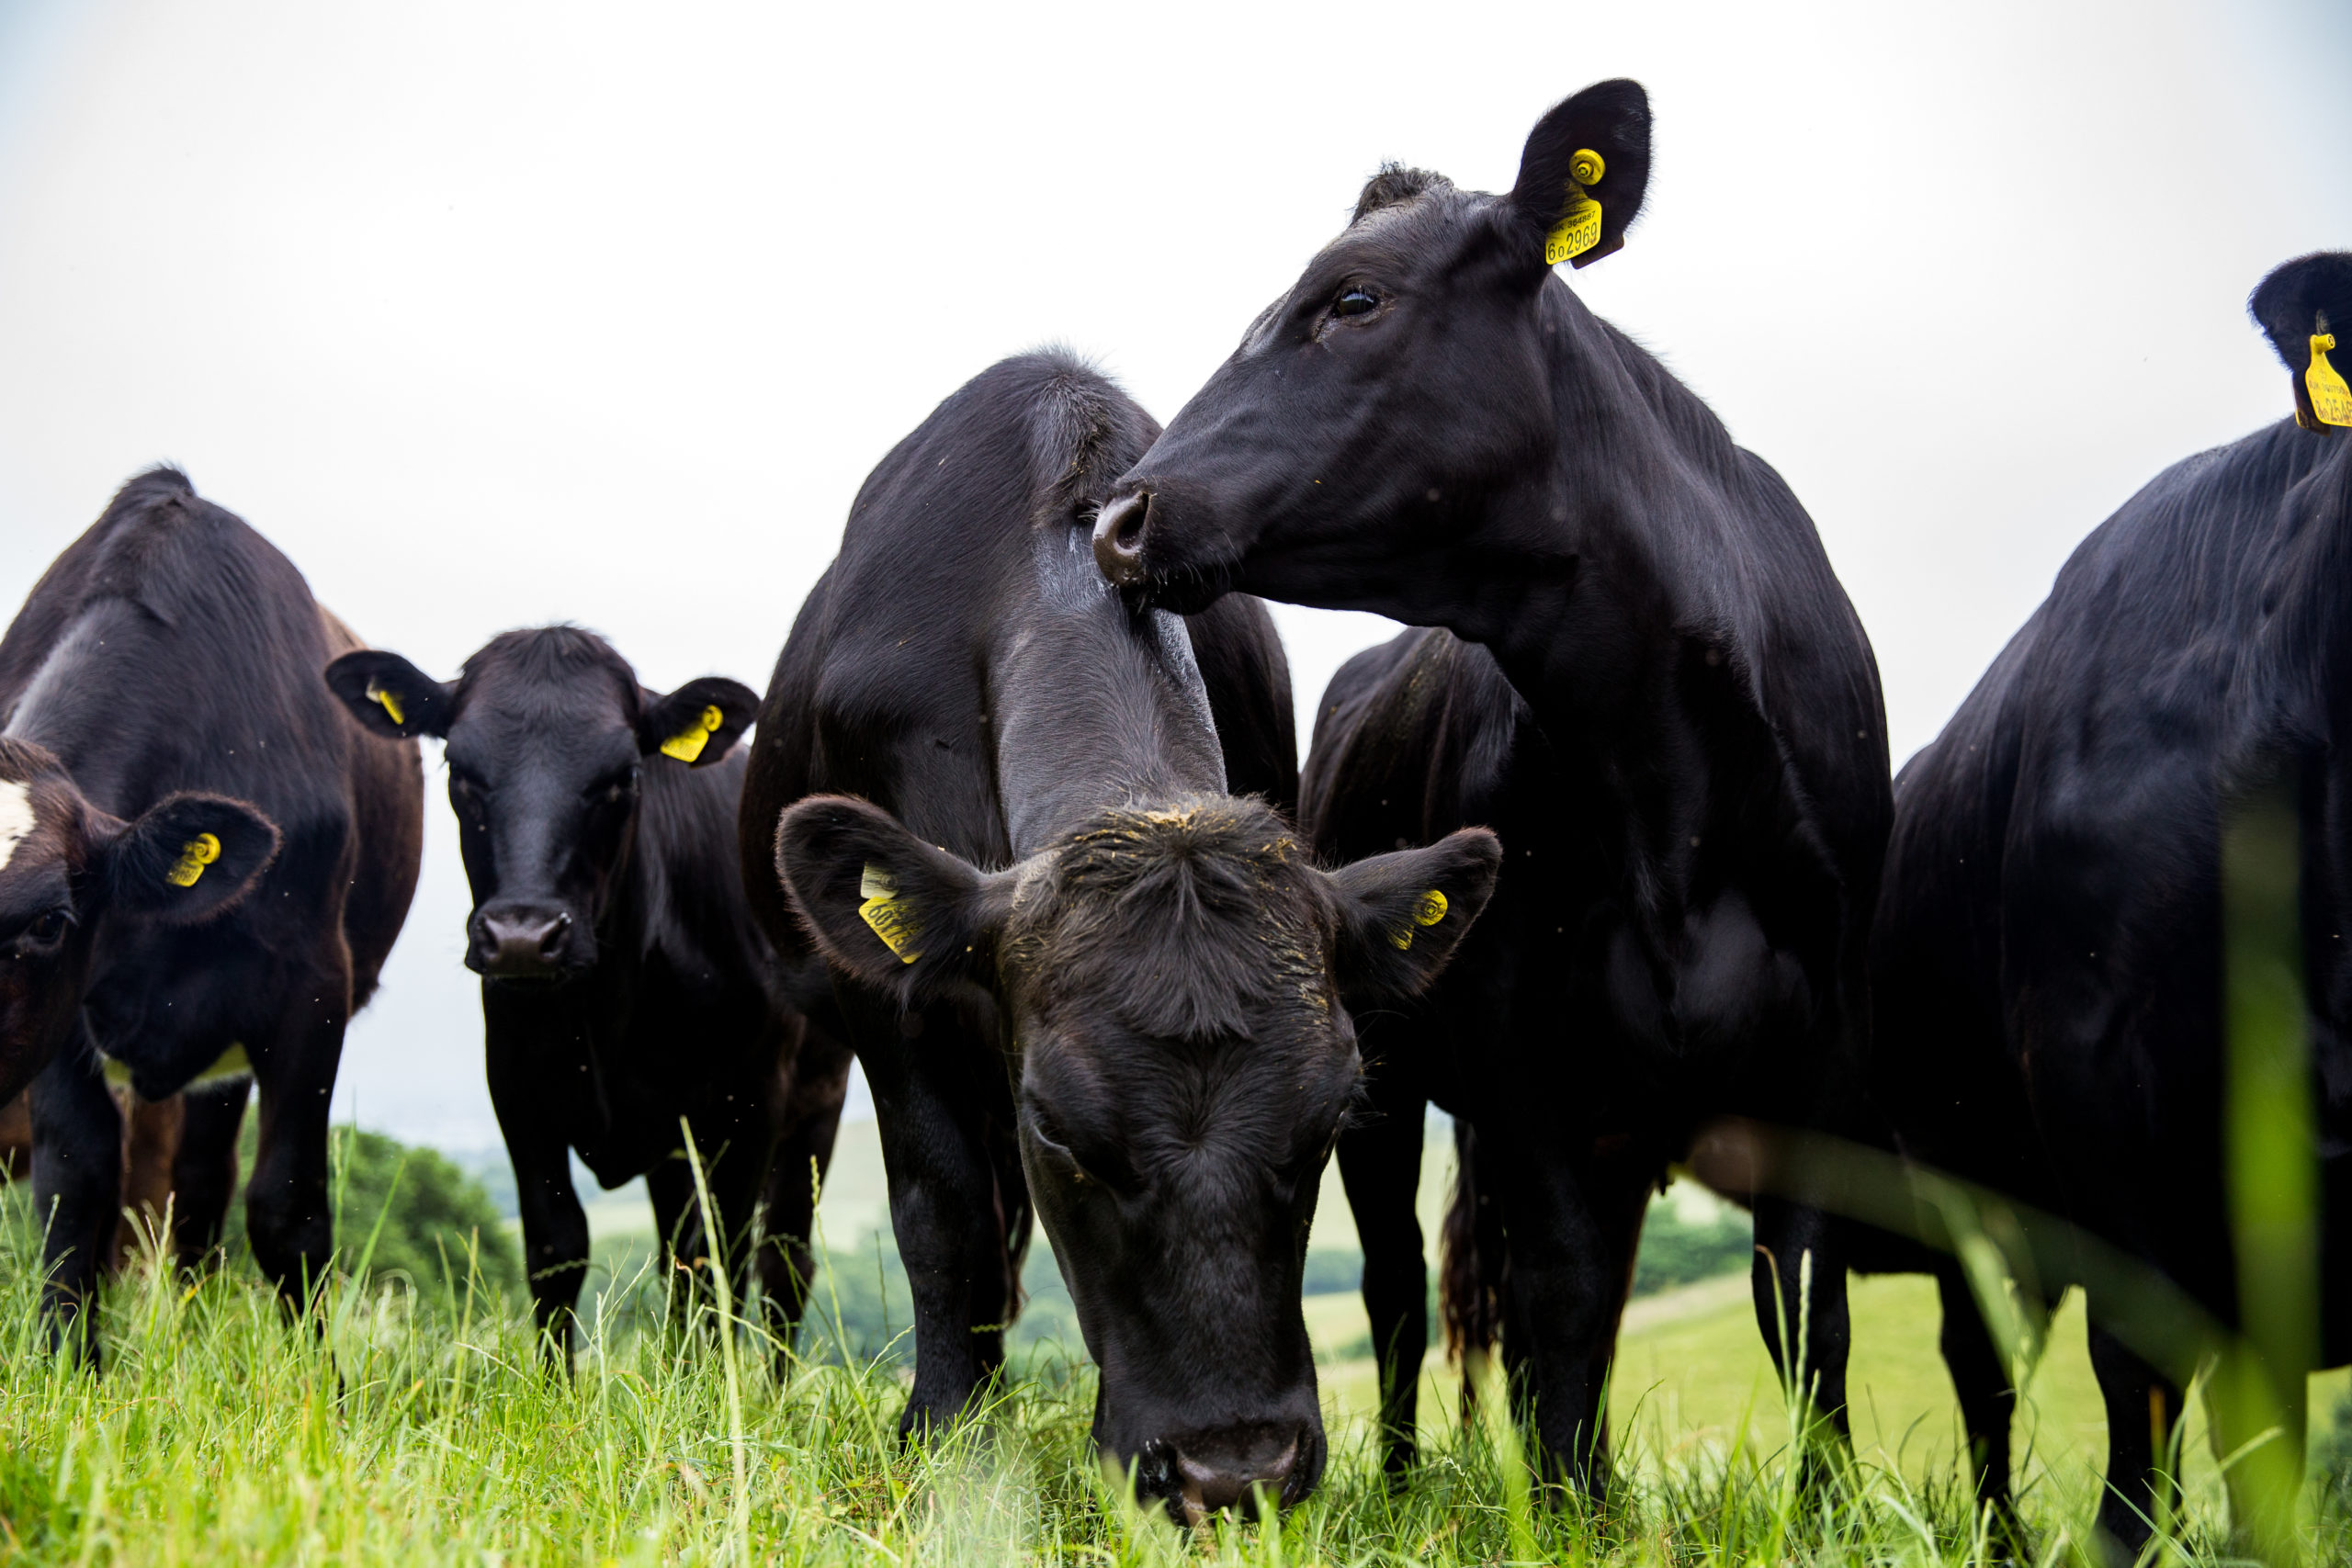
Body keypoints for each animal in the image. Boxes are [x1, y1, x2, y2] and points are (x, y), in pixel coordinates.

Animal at [0, 467, 424, 1357]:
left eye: (48, 921)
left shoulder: (310, 988)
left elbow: (287, 1204)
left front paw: (316, 1377)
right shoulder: (64, 1019)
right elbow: (76, 1179)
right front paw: (71, 1364)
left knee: (204, 1189)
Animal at [325, 627, 851, 1356]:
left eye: (623, 776)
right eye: (459, 767)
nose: (522, 935)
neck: (611, 1005)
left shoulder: (751, 1103)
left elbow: (719, 1255)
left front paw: (708, 1382)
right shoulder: (518, 1094)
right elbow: (559, 1247)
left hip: (818, 1099)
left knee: (782, 1264)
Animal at [739, 351, 1502, 1524]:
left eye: (1333, 1115)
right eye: (1060, 1130)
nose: (1233, 1474)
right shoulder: (892, 1000)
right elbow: (941, 1210)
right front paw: (948, 1437)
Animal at [1090, 81, 1893, 1497]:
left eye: (1352, 299)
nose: (1117, 520)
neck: (1673, 791)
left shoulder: (1820, 1055)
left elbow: (1802, 1308)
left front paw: (1825, 1505)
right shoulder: (1539, 1070)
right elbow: (1558, 1312)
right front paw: (1571, 1507)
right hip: (1381, 1076)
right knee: (1407, 1290)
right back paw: (1410, 1480)